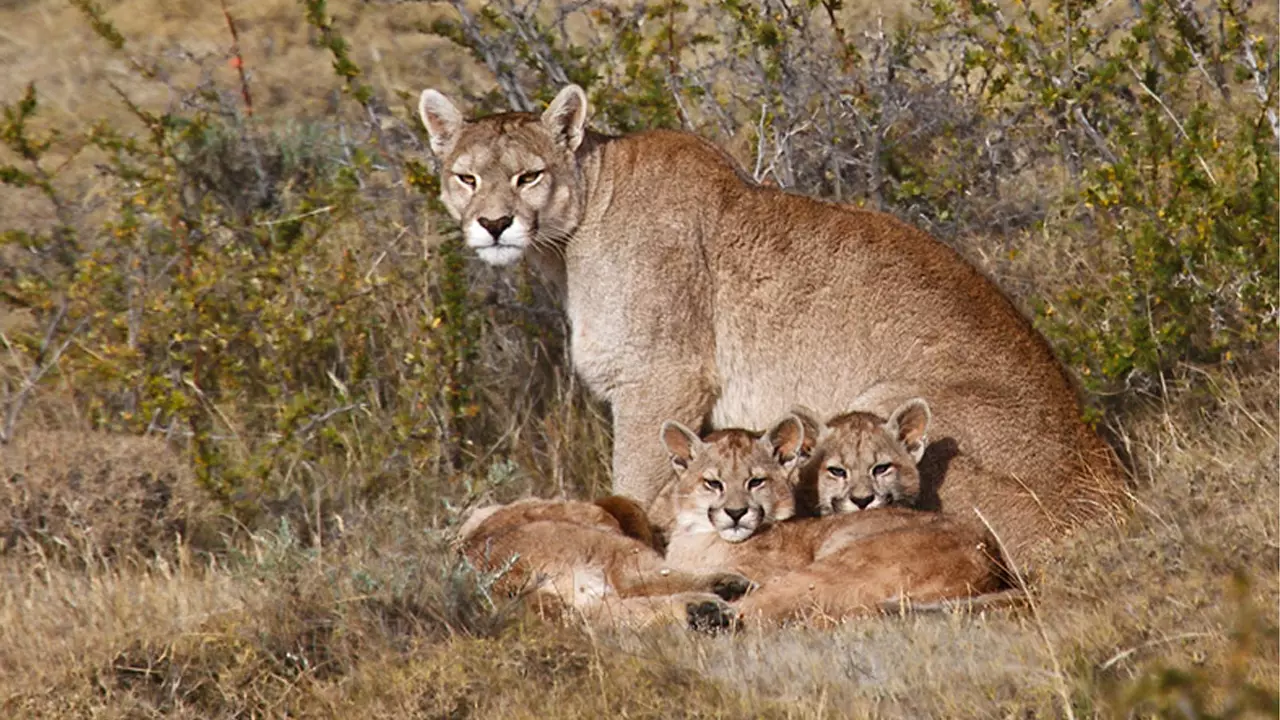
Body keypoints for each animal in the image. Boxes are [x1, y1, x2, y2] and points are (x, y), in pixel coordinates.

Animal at [417, 83, 1121, 561]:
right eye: (466, 177)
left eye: (529, 176)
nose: (494, 224)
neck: (570, 236)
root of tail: (1112, 494)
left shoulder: (659, 380)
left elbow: (636, 484)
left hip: (886, 402)